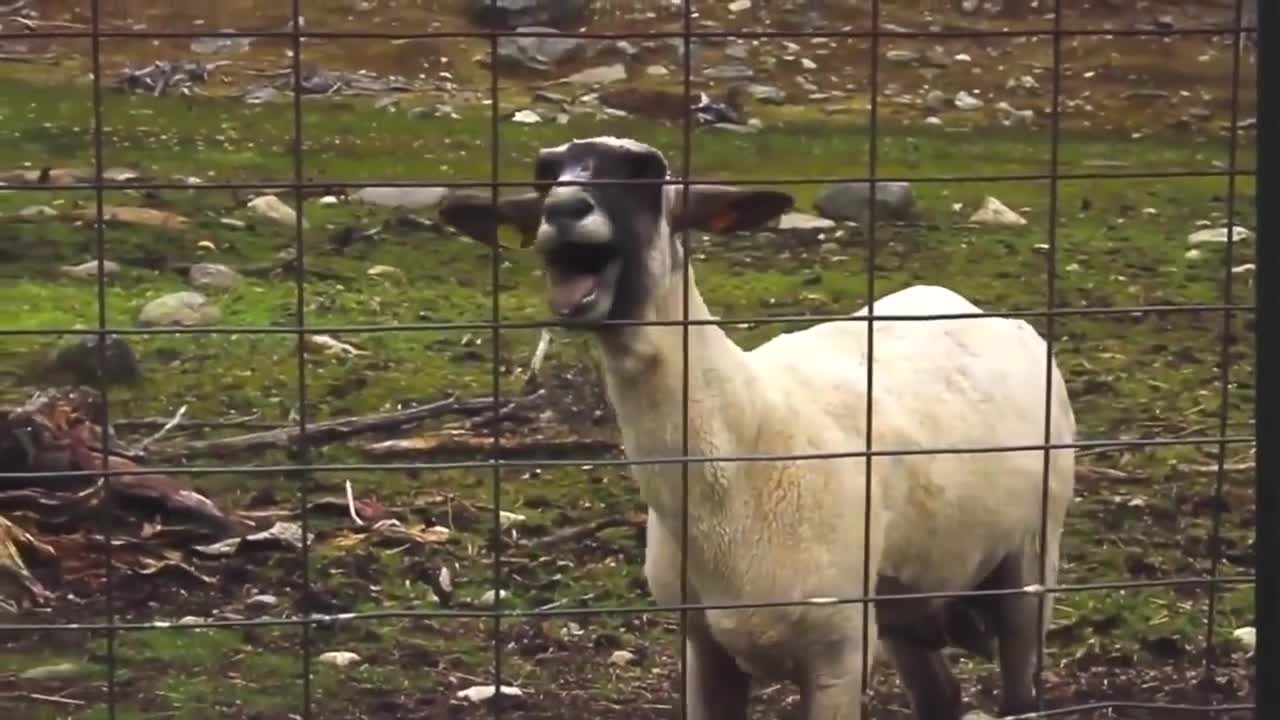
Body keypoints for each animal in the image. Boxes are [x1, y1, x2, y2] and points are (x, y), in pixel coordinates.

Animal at [438, 136, 1076, 720]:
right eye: (547, 173)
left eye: (646, 172)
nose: (565, 209)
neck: (743, 447)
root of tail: (972, 306)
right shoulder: (704, 648)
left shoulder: (838, 654)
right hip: (907, 594)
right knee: (940, 696)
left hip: (1032, 554)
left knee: (1022, 687)